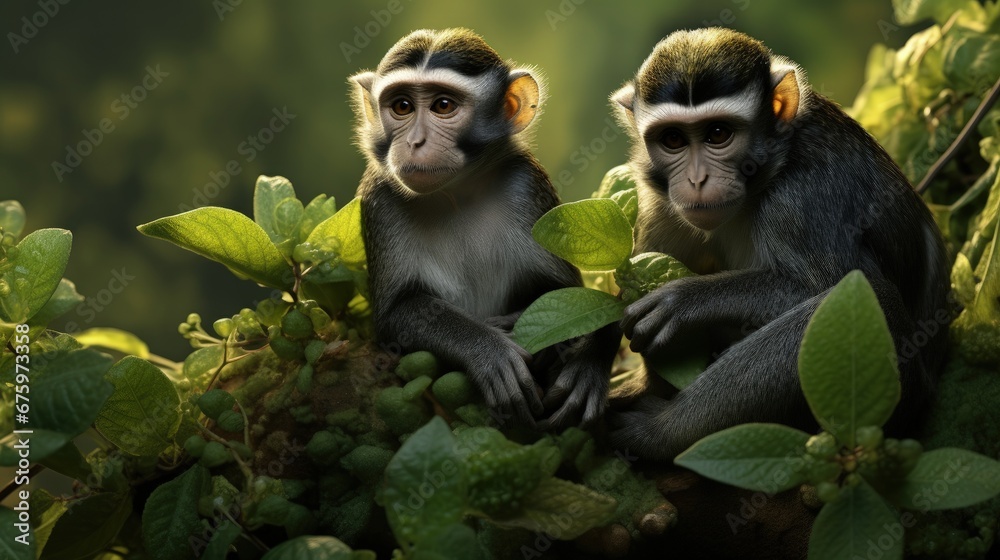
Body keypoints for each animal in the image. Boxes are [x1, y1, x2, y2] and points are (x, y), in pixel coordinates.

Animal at [350, 28, 617, 429]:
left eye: (443, 105)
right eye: (402, 106)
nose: (414, 142)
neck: (456, 193)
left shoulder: (525, 185)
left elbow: (569, 298)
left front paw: (588, 363)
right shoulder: (380, 200)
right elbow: (396, 313)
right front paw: (487, 349)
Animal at [608, 28, 951, 461]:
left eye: (718, 134)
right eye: (672, 140)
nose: (697, 180)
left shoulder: (801, 200)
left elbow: (843, 286)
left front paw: (687, 300)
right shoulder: (663, 205)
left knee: (873, 302)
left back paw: (660, 432)